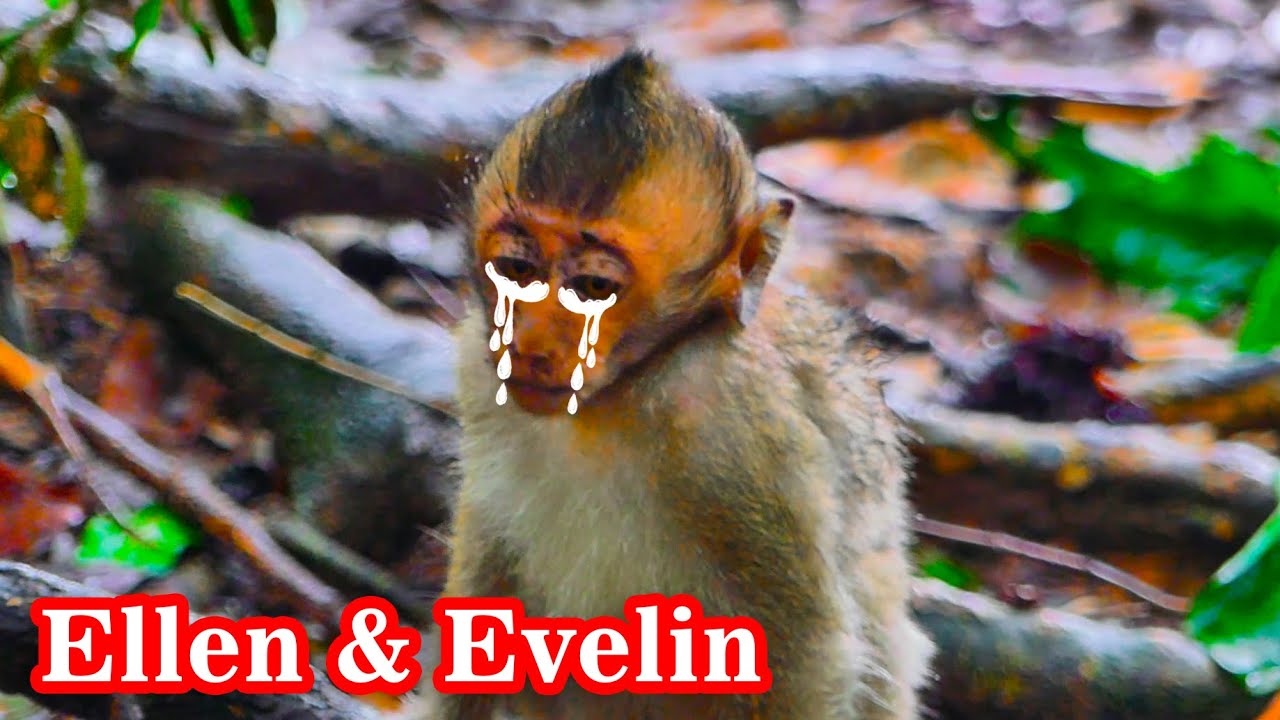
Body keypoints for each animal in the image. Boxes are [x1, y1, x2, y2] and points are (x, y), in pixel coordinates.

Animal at [415, 48, 933, 719]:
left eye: (593, 287)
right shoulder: (479, 377)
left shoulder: (732, 425)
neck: (619, 396)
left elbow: (804, 653)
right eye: (517, 269)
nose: (528, 344)